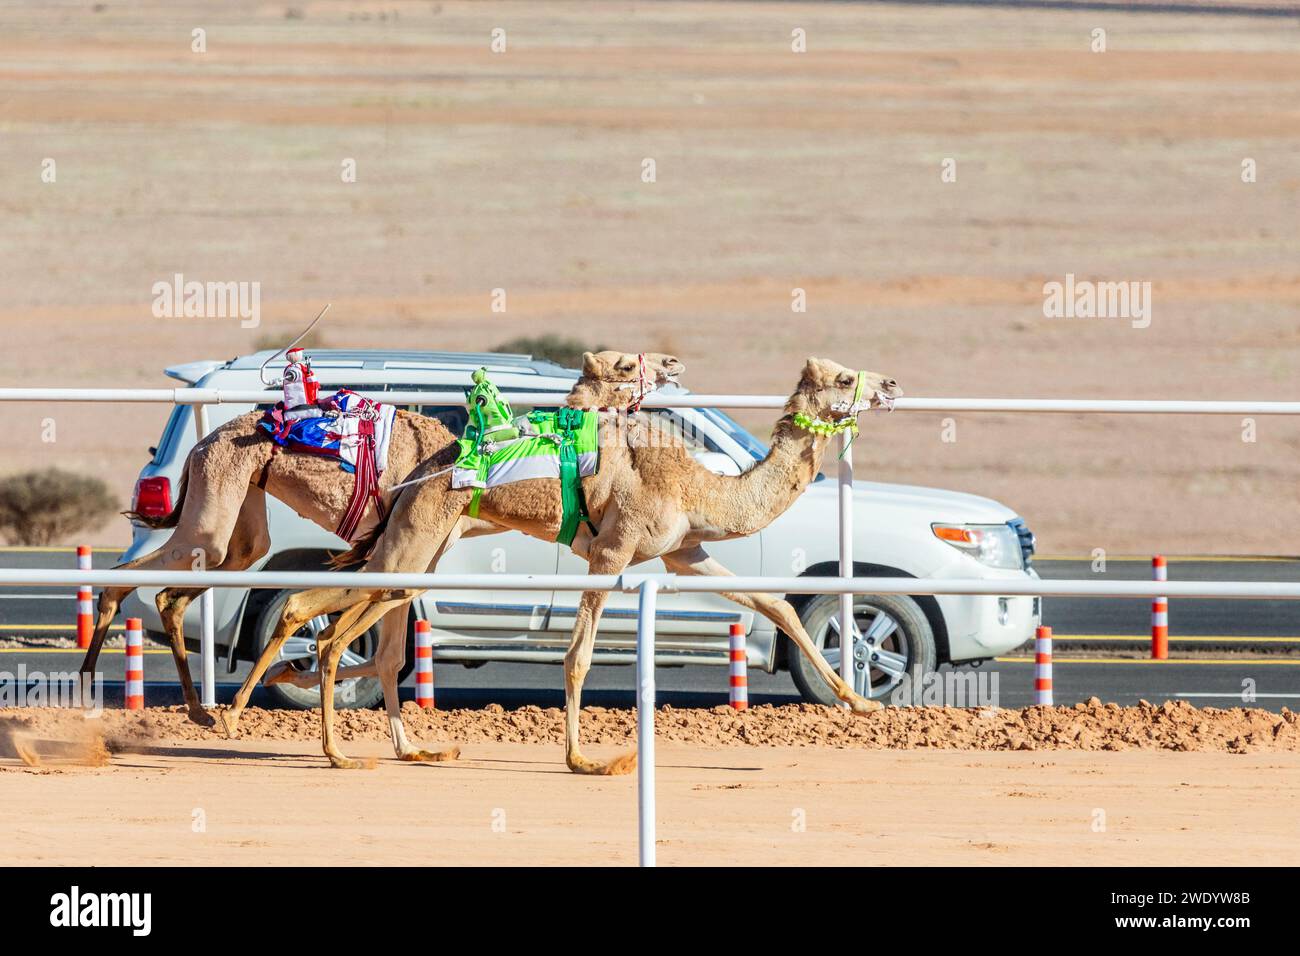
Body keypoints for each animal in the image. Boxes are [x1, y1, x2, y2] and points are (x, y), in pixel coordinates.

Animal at [76, 351, 684, 728]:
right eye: (624, 364)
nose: (674, 364)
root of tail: (202, 441)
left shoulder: (398, 553)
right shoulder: (396, 543)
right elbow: (325, 624)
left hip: (242, 517)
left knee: (172, 587)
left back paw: (192, 709)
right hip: (218, 494)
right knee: (137, 581)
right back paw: (97, 691)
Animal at [226, 357, 902, 773]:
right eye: (845, 378)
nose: (891, 385)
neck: (696, 487)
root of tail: (420, 472)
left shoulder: (683, 553)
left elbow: (775, 602)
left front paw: (862, 704)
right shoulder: (611, 552)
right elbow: (577, 656)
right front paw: (587, 760)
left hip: (421, 548)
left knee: (341, 618)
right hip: (413, 543)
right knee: (328, 624)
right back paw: (297, 737)